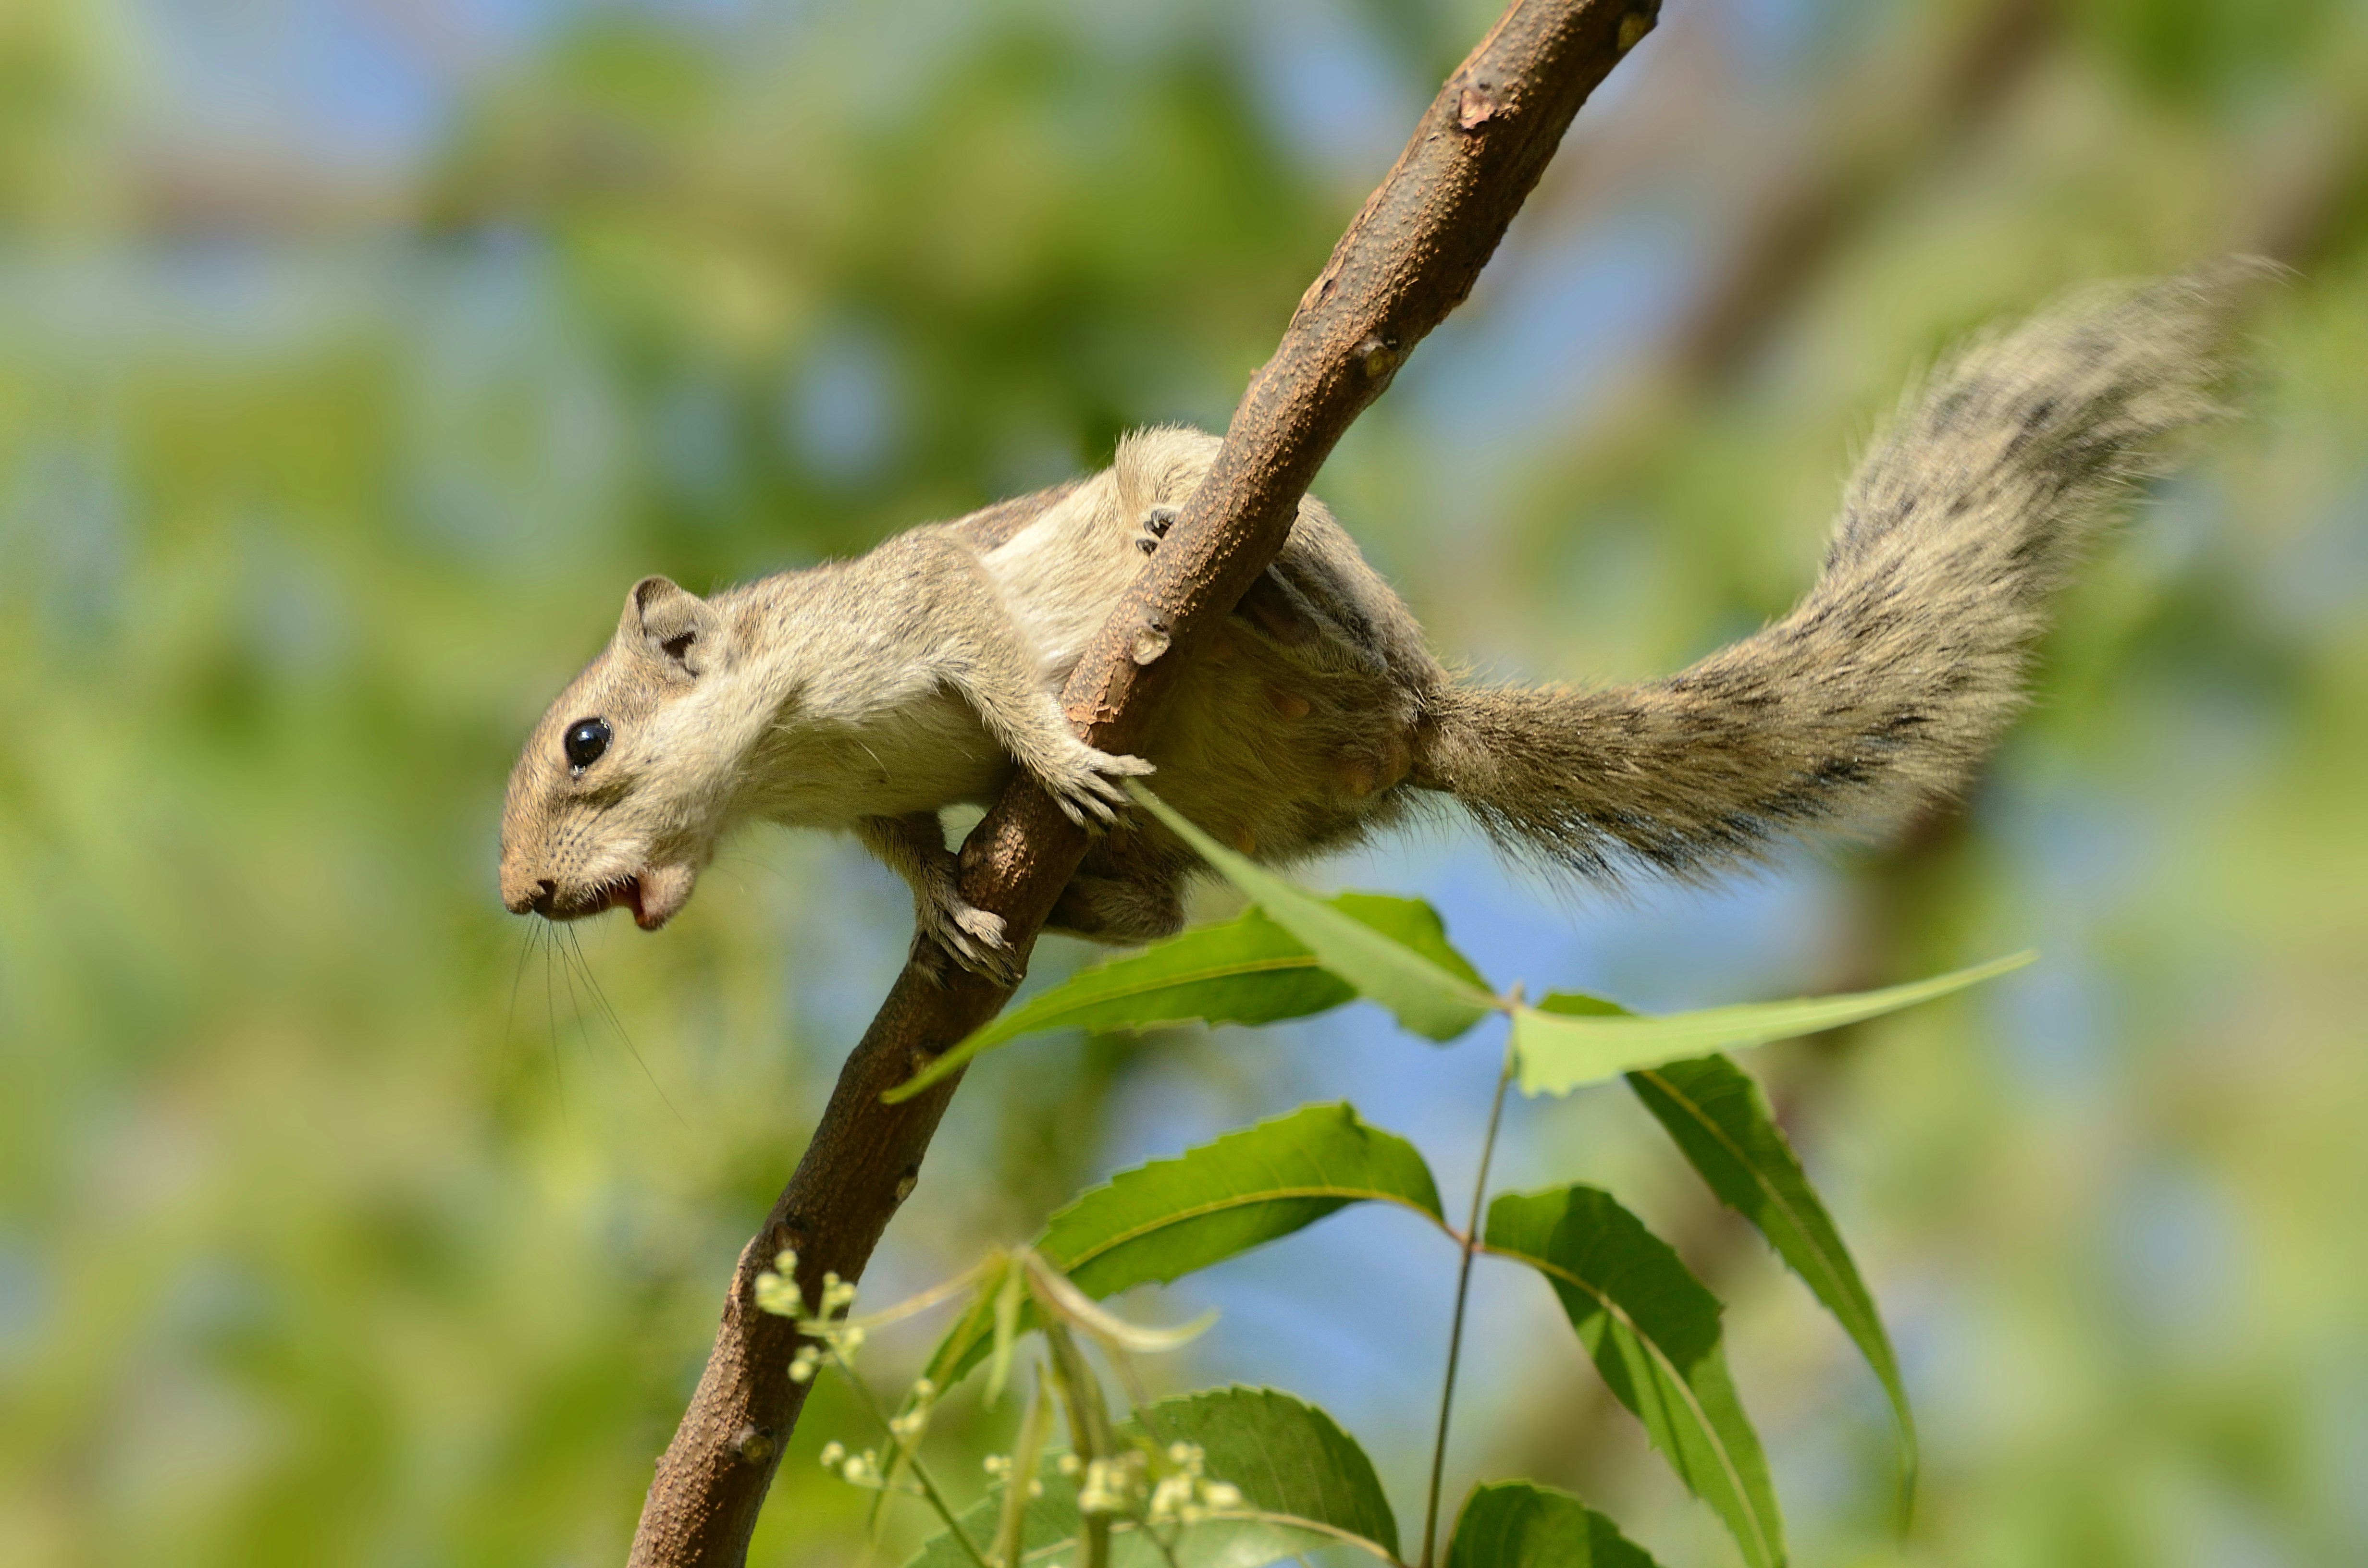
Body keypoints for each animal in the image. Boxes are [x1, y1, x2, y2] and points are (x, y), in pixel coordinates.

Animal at [498, 272, 2238, 977]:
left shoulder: (912, 600)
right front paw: (939, 909)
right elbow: (904, 846)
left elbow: (983, 646)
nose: (521, 898)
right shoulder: (861, 797)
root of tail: (1422, 727)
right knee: (1156, 918)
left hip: (1243, 518)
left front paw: (1047, 742)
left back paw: (1209, 572)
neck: (789, 757)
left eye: (585, 740)